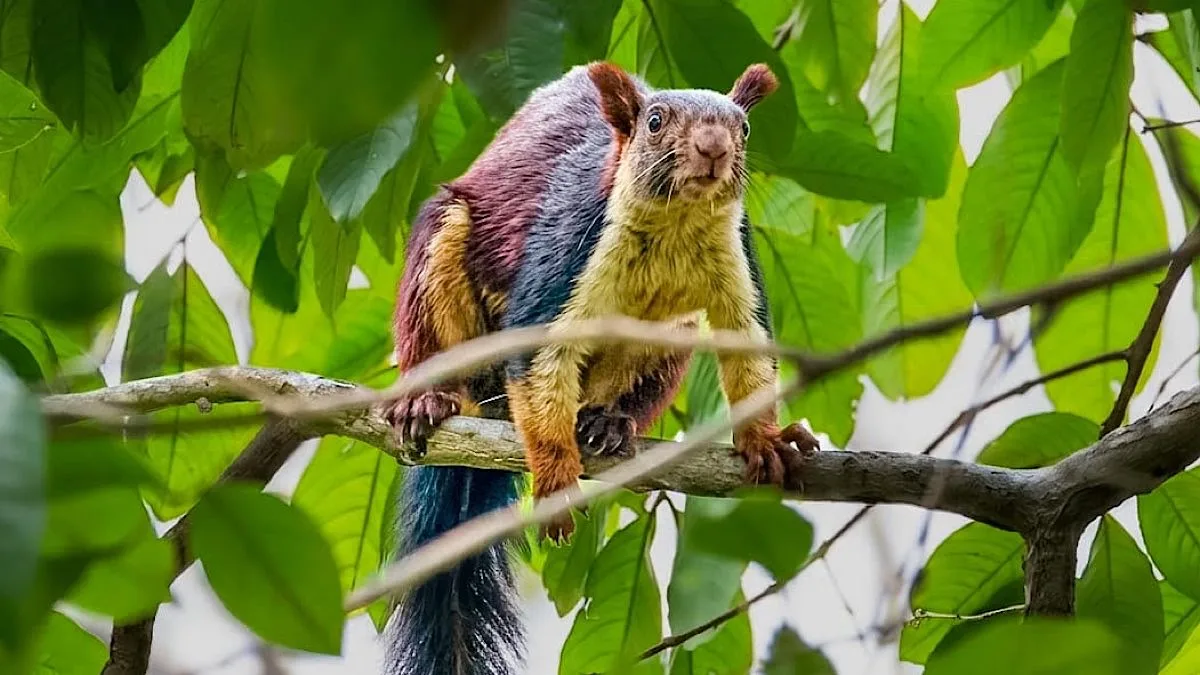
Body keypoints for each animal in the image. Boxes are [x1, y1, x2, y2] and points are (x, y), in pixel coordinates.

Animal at [381, 61, 820, 675]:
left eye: (745, 128)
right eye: (656, 122)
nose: (713, 148)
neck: (677, 226)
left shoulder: (739, 260)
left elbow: (749, 352)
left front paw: (766, 440)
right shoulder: (568, 247)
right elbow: (538, 362)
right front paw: (557, 478)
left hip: (670, 339)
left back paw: (608, 421)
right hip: (442, 254)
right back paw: (427, 399)